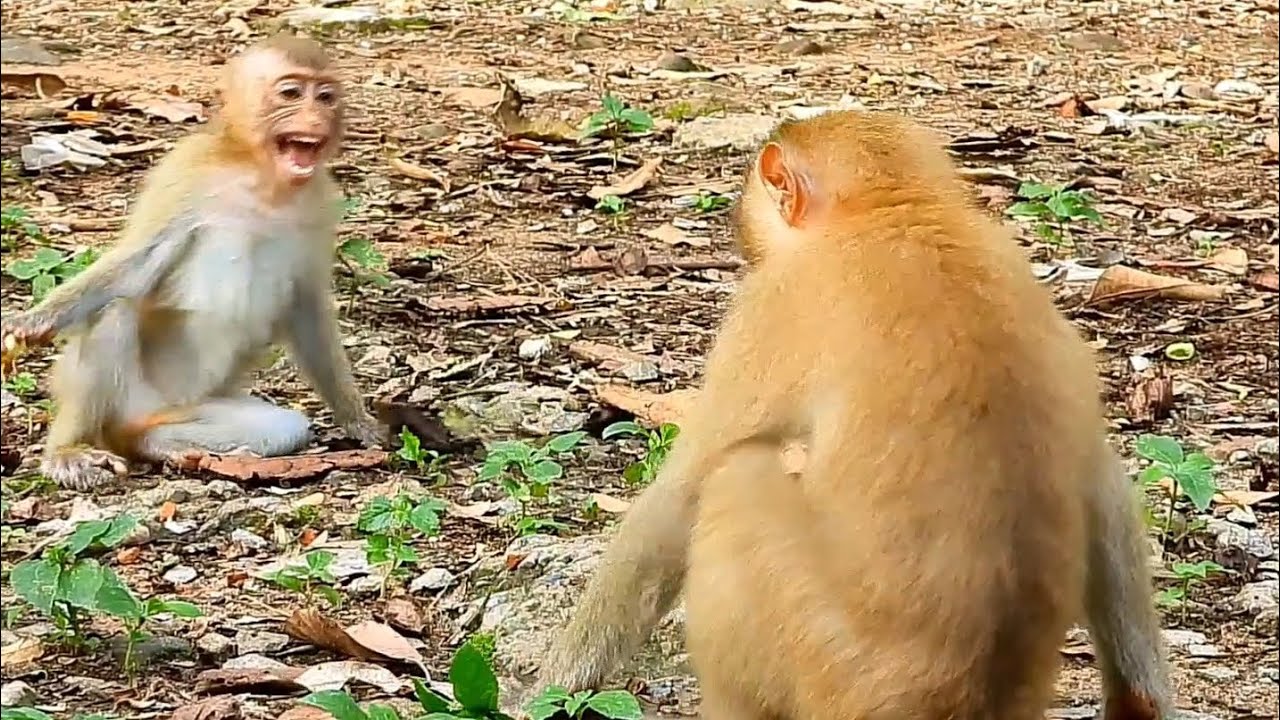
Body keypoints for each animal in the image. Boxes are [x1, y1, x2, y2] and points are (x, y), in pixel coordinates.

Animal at [0, 34, 385, 491]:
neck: (263, 180)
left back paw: (159, 446)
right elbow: (135, 262)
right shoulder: (185, 171)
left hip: (196, 407)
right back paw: (67, 451)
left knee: (284, 427)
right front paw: (29, 323)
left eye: (326, 97)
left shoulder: (321, 202)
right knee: (115, 311)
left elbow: (307, 305)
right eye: (291, 93)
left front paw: (358, 420)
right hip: (128, 394)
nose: (316, 115)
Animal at [536, 111, 1171, 720]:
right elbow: (1107, 486)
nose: (740, 229)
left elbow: (678, 497)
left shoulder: (775, 303)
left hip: (818, 653)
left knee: (734, 479)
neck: (898, 208)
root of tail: (965, 702)